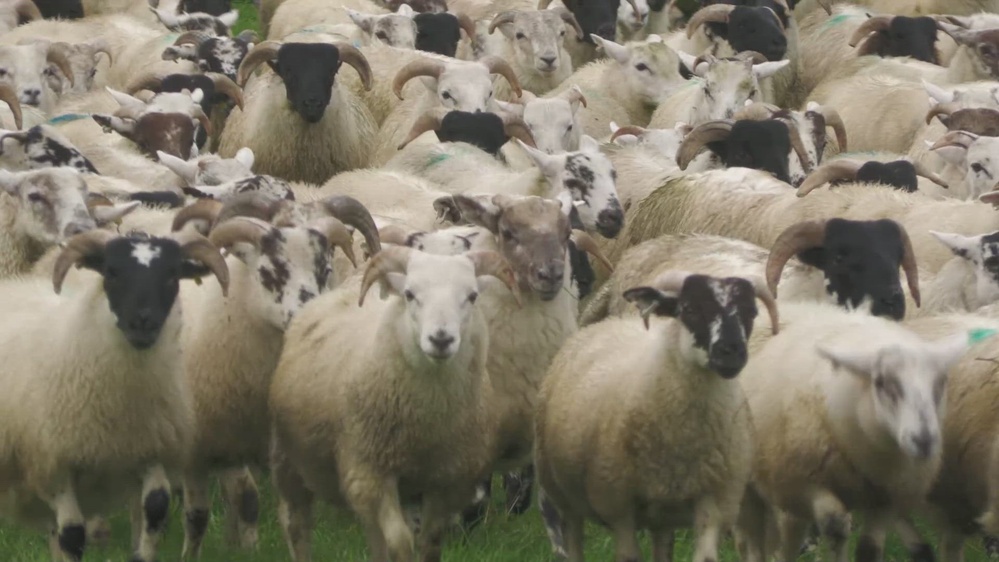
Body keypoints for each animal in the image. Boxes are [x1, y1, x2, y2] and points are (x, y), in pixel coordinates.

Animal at [0, 227, 229, 562]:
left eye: (172, 275)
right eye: (112, 272)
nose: (143, 322)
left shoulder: (146, 447)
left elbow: (156, 506)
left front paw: (142, 554)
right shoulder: (52, 465)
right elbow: (73, 534)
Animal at [166, 193, 380, 558]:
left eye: (325, 269)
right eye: (270, 272)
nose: (304, 314)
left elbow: (268, 510)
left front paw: (248, 550)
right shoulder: (199, 449)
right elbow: (200, 517)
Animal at [268, 245, 517, 562]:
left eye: (472, 296)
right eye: (410, 294)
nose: (441, 339)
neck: (425, 425)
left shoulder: (448, 480)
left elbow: (430, 541)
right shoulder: (372, 472)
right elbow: (399, 541)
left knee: (373, 535)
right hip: (289, 458)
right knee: (295, 522)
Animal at [535, 270, 779, 562]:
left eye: (751, 312)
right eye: (689, 309)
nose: (732, 352)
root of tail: (610, 322)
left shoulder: (716, 500)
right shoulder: (618, 505)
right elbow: (628, 555)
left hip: (662, 512)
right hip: (563, 493)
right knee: (573, 538)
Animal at [734, 301, 973, 562]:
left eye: (941, 382)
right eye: (881, 382)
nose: (924, 440)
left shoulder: (886, 499)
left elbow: (870, 548)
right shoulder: (806, 482)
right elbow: (835, 525)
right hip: (748, 485)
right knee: (754, 543)